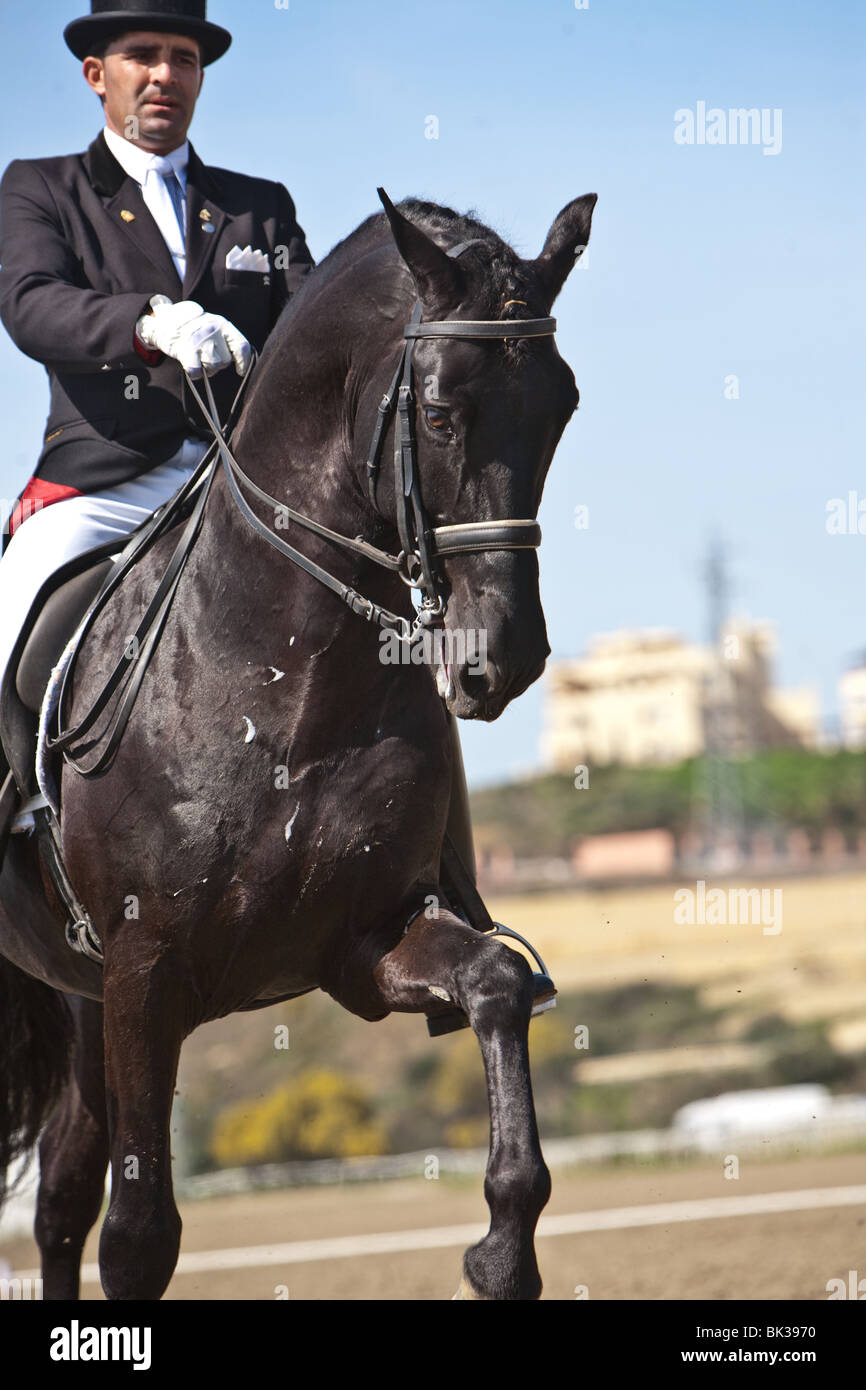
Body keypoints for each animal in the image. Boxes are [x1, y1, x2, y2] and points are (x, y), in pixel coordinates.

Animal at [0, 186, 596, 1301]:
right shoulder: (145, 975)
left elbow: (496, 986)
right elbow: (140, 1235)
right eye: (439, 412)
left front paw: (500, 1249)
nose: (503, 659)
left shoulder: (362, 939)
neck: (288, 683)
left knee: (59, 1191)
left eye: (562, 407)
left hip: (79, 995)